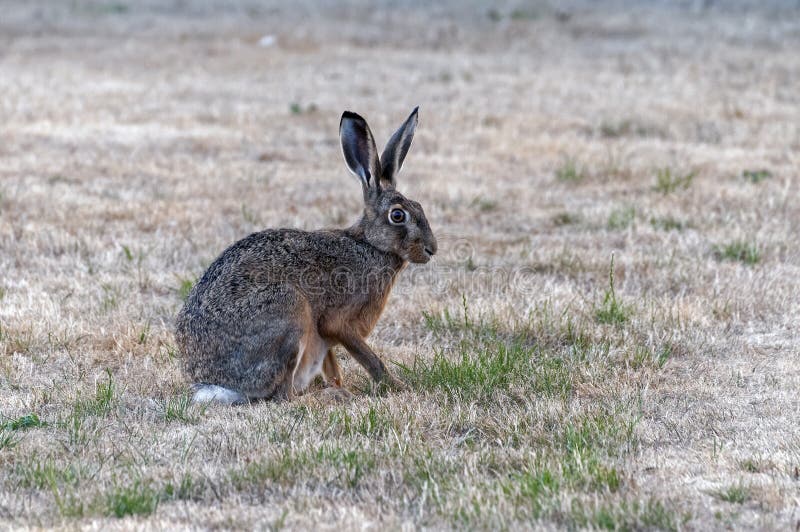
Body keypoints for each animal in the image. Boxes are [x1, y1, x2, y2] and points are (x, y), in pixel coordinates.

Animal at [175, 108, 437, 405]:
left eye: (420, 207)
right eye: (398, 216)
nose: (432, 249)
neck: (370, 245)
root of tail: (212, 382)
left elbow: (331, 364)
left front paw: (338, 382)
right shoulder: (340, 323)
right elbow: (369, 358)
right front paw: (397, 386)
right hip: (289, 310)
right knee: (283, 395)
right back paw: (329, 397)